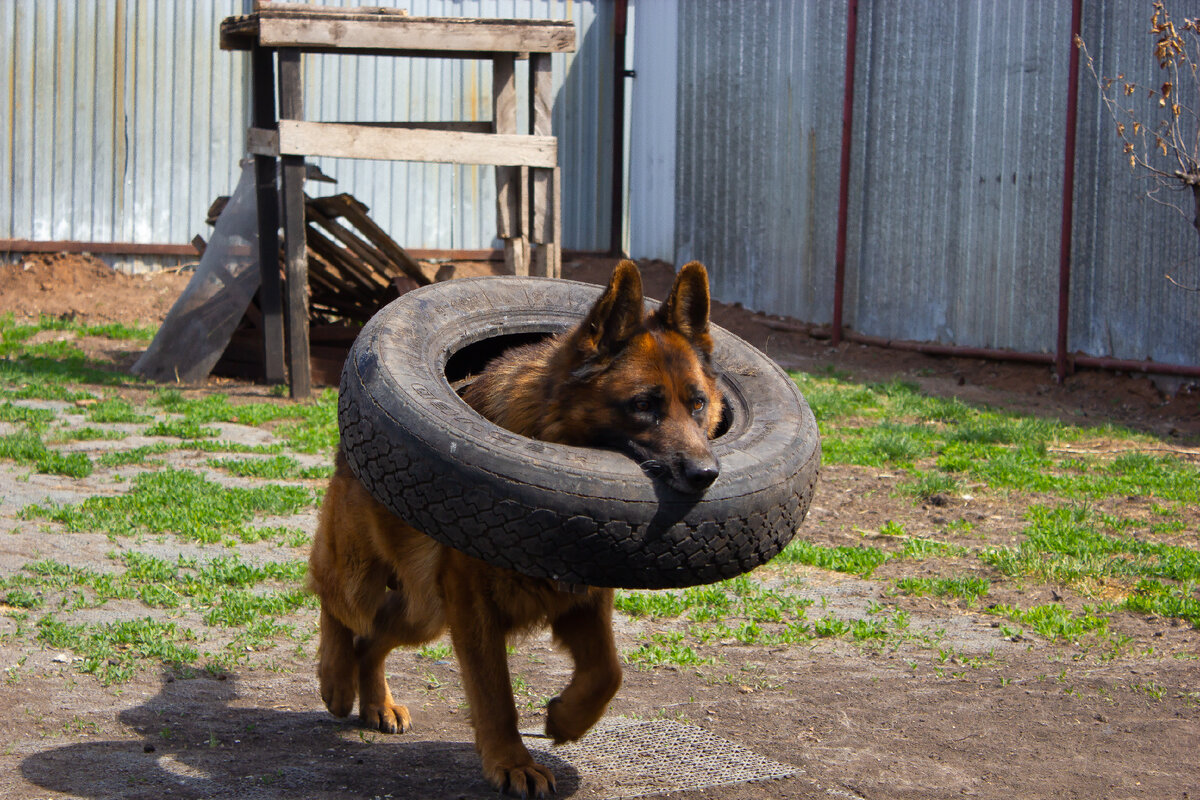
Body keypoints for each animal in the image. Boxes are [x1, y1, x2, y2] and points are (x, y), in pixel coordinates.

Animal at [309, 261, 720, 796]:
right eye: (643, 405)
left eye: (697, 404)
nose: (706, 473)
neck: (547, 429)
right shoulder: (473, 606)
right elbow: (495, 694)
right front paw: (512, 762)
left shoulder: (582, 598)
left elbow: (607, 672)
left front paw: (567, 719)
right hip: (366, 576)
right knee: (337, 606)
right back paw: (336, 680)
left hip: (425, 613)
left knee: (373, 637)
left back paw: (377, 701)